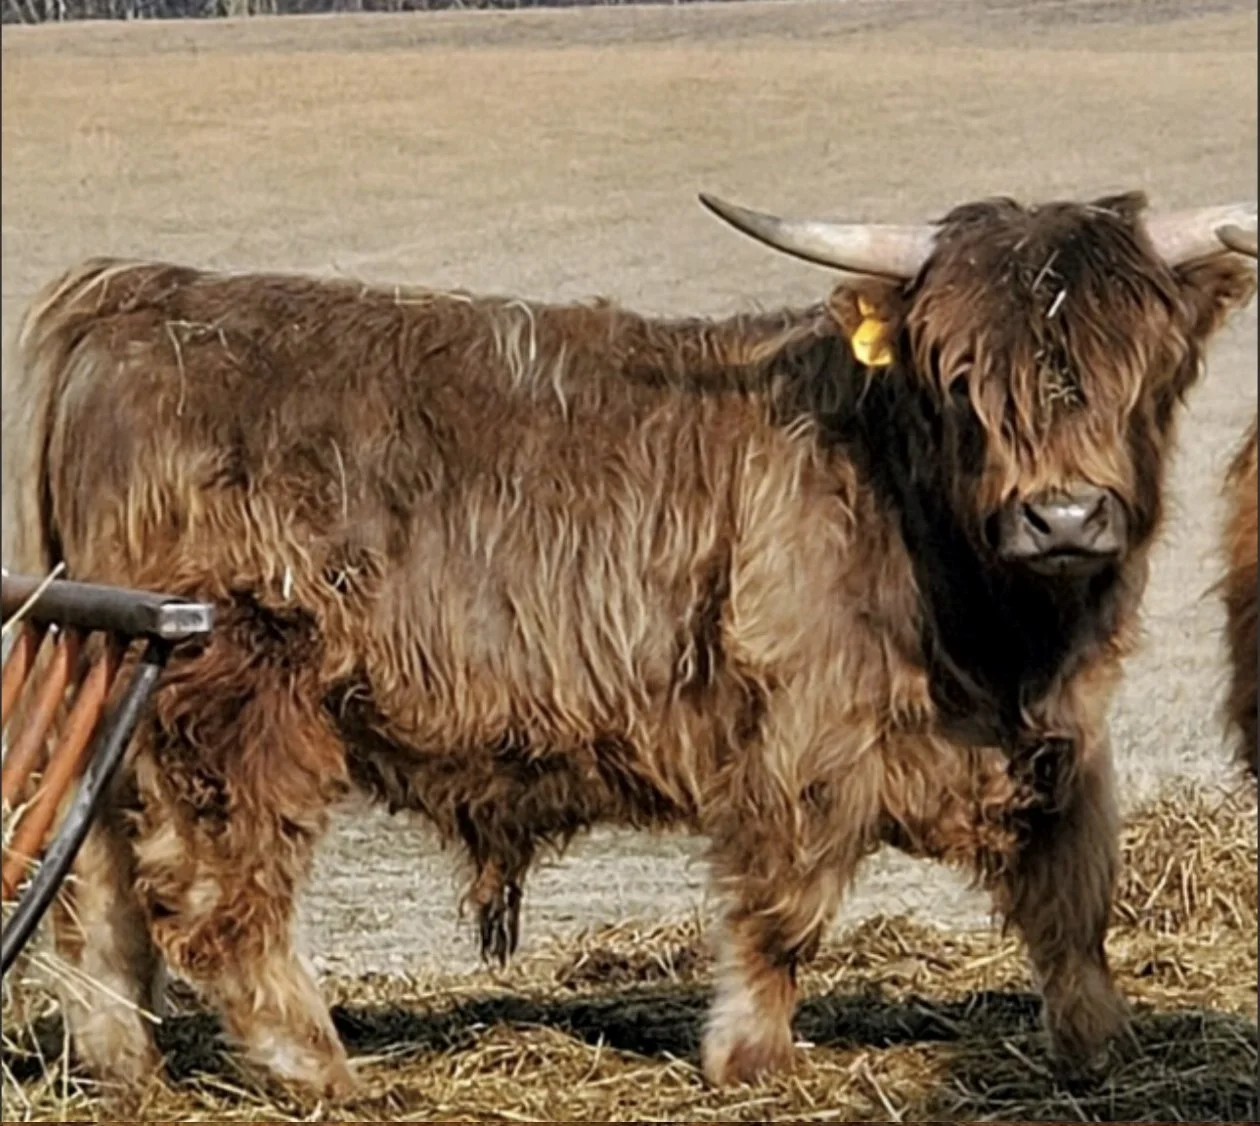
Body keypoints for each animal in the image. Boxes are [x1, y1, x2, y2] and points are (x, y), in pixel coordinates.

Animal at [3, 190, 1255, 1101]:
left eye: (1143, 373)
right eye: (962, 381)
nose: (1065, 517)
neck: (998, 632)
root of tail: (136, 297)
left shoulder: (1061, 734)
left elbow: (1074, 894)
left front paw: (1102, 1048)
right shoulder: (800, 740)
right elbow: (784, 909)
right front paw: (750, 1059)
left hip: (115, 694)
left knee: (96, 892)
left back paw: (126, 1068)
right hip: (232, 695)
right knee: (216, 890)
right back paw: (320, 1068)